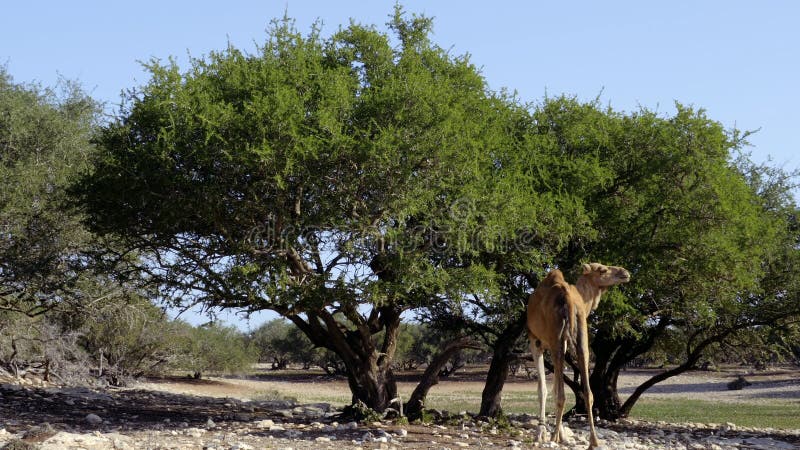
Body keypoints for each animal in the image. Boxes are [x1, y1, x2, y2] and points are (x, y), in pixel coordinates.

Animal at [526, 263, 630, 449]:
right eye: (602, 269)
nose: (625, 273)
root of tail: (567, 297)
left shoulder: (536, 341)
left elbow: (544, 389)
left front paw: (543, 433)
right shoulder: (550, 342)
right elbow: (551, 388)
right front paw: (552, 433)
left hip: (556, 339)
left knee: (561, 393)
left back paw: (555, 437)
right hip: (580, 334)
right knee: (588, 392)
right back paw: (593, 440)